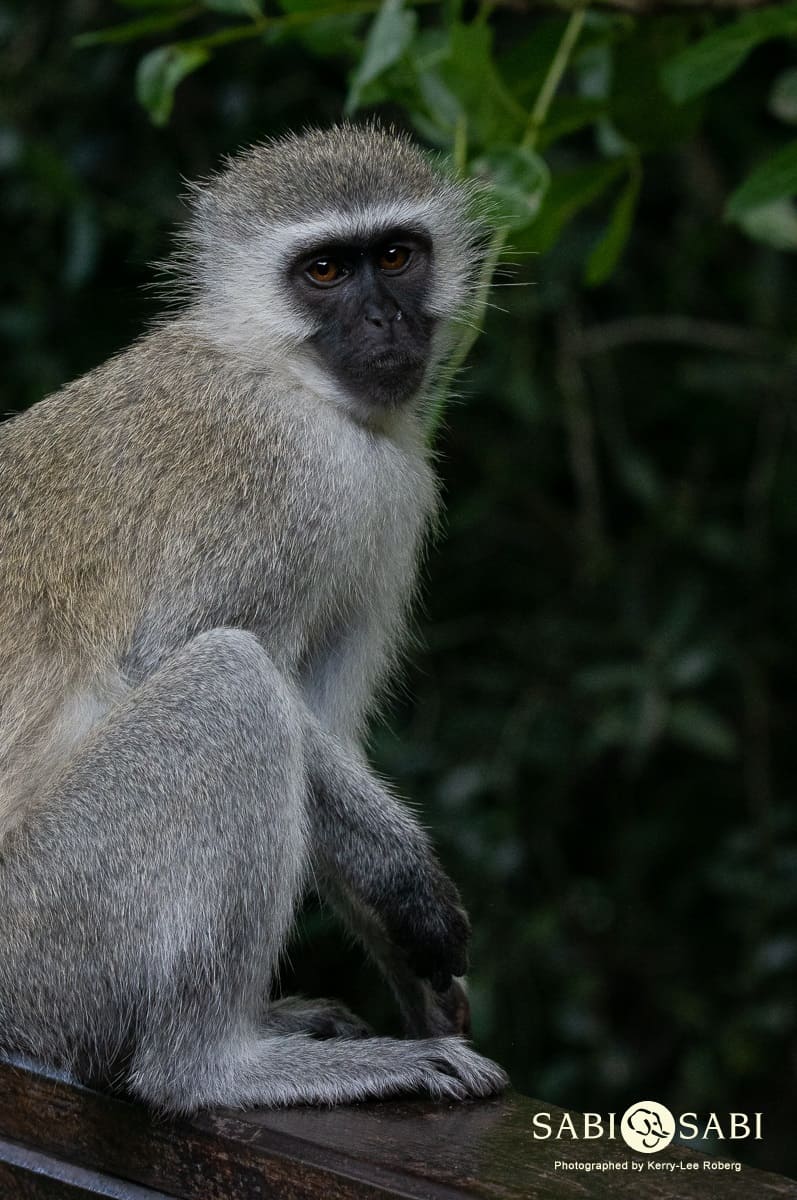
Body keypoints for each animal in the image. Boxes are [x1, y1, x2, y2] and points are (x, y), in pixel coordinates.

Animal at [0, 123, 509, 1113]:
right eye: (323, 271)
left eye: (396, 256)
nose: (385, 323)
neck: (281, 373)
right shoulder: (277, 483)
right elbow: (171, 657)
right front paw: (405, 881)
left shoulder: (385, 496)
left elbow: (326, 728)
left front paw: (416, 964)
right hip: (45, 934)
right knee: (227, 683)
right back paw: (214, 1067)